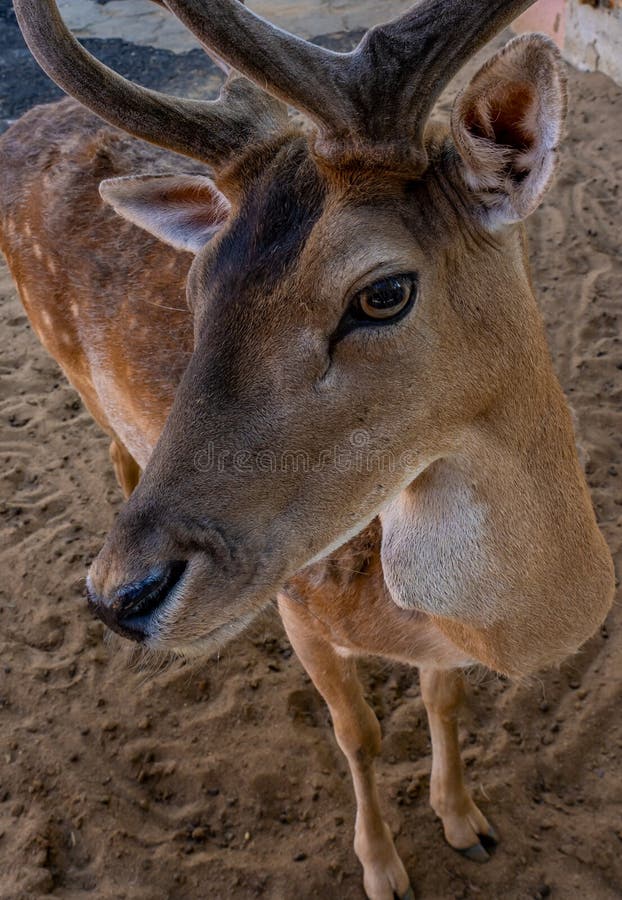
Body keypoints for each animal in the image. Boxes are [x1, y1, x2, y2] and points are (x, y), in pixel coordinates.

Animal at [1, 0, 615, 897]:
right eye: (198, 288)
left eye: (384, 292)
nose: (120, 596)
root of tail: (28, 118)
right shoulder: (298, 603)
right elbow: (357, 733)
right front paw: (384, 869)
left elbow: (445, 703)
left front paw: (467, 823)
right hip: (69, 368)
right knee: (114, 447)